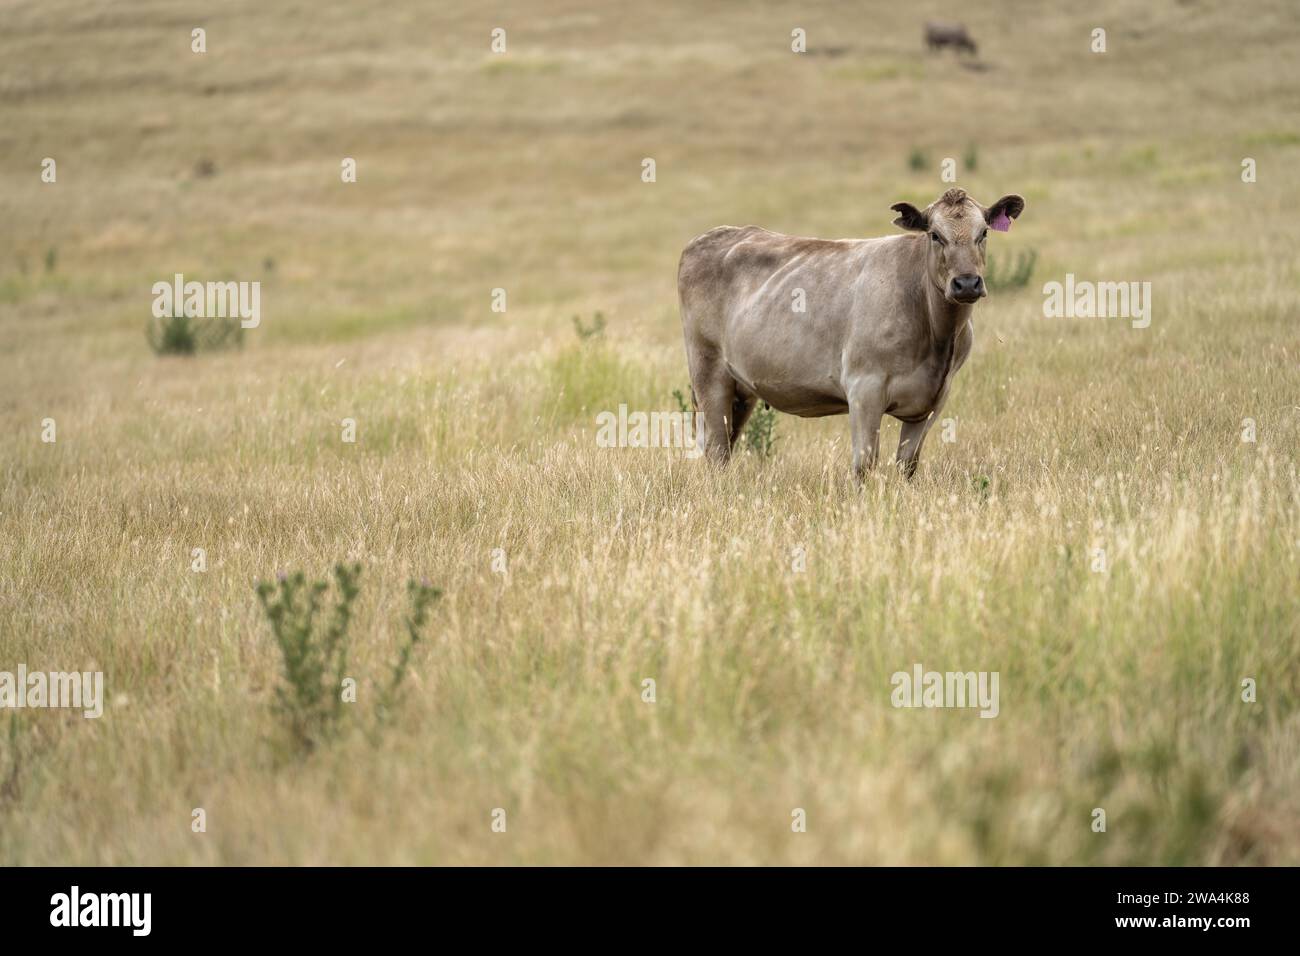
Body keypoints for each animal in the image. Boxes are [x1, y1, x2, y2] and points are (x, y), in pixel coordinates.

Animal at [677, 188, 1025, 481]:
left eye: (983, 233)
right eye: (935, 235)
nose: (966, 283)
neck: (937, 337)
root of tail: (714, 234)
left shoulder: (934, 398)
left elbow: (907, 465)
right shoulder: (864, 387)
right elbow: (865, 464)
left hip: (742, 389)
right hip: (709, 373)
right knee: (717, 451)